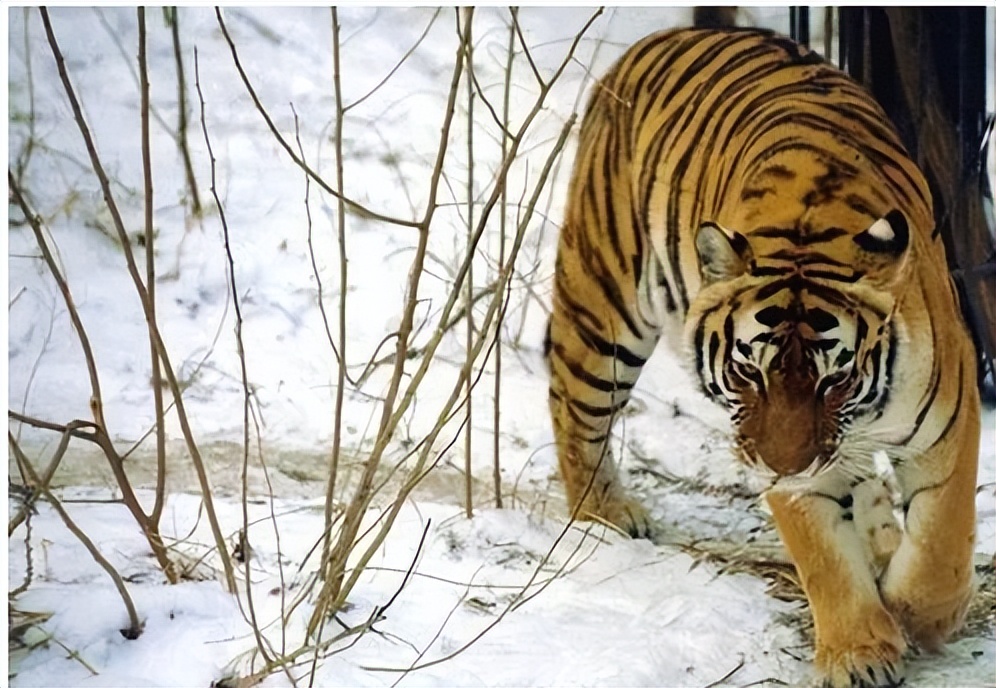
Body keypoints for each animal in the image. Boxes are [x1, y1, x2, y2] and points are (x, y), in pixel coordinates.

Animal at [545, 22, 981, 688]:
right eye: (749, 371)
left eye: (836, 379)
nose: (785, 465)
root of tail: (666, 35)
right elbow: (826, 558)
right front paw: (858, 652)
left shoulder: (948, 428)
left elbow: (939, 543)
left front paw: (915, 614)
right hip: (603, 308)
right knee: (574, 410)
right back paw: (607, 516)